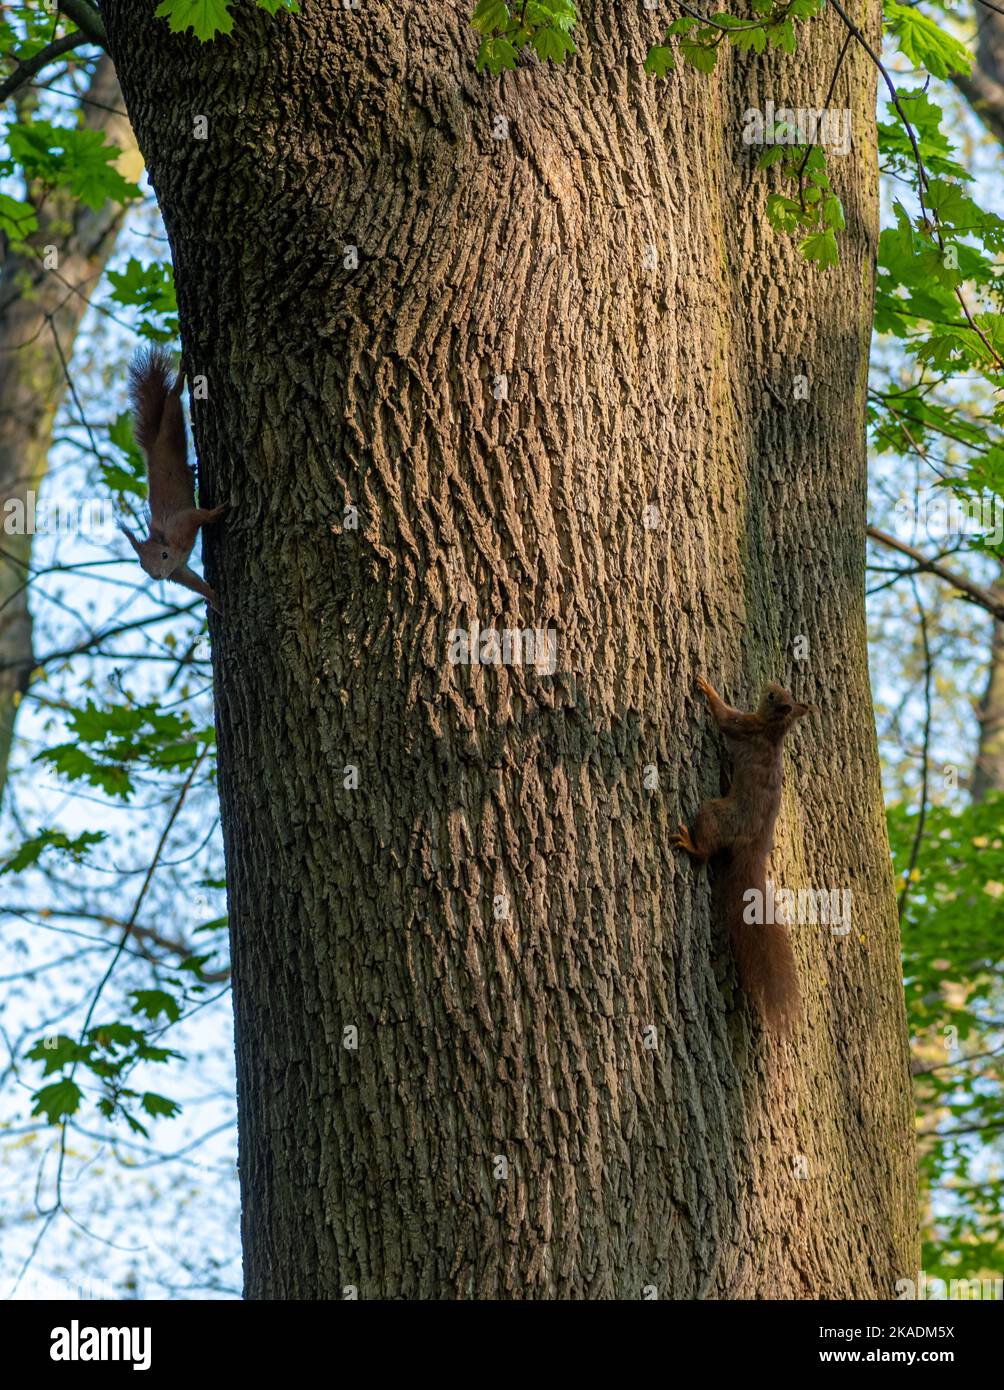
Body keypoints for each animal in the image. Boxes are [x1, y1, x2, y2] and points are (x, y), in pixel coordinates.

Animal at [120, 347, 227, 613]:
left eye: (163, 556)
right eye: (142, 565)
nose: (158, 576)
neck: (172, 547)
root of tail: (152, 448)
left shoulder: (182, 524)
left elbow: (198, 515)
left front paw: (215, 513)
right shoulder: (179, 572)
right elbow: (196, 583)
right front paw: (215, 600)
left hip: (171, 427)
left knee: (171, 399)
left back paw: (180, 380)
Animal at [671, 675, 813, 1034]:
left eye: (774, 696)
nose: (769, 684)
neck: (772, 731)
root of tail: (754, 845)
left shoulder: (743, 726)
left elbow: (723, 717)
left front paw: (707, 688)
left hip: (717, 814)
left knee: (707, 850)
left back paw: (691, 844)